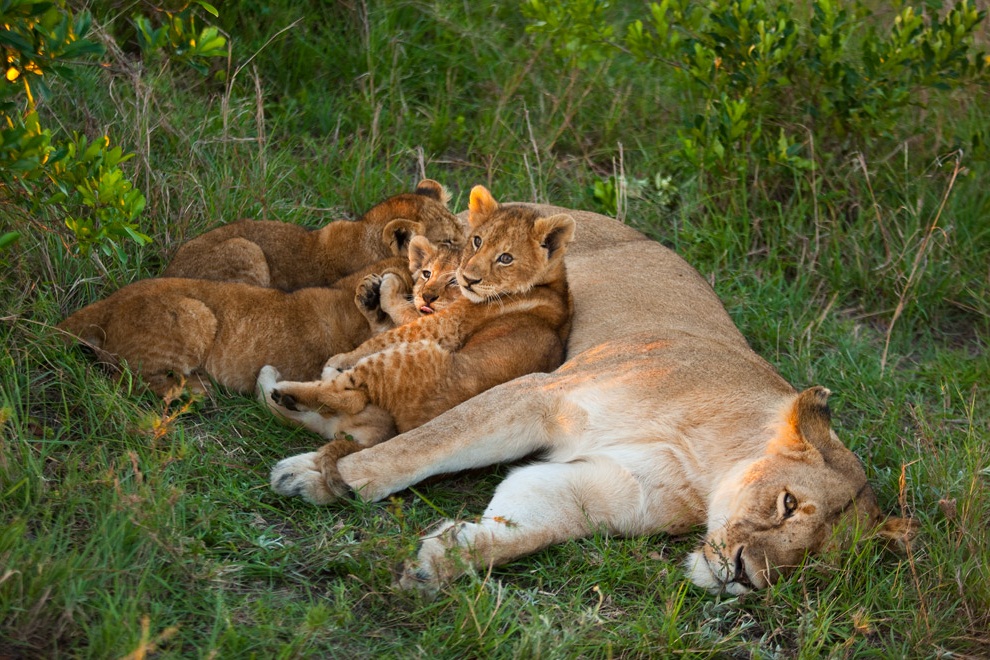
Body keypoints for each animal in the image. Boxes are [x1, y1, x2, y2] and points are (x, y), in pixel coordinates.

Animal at [261, 185, 575, 500]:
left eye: (506, 258)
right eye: (477, 242)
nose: (467, 278)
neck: (552, 283)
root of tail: (408, 424)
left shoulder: (442, 325)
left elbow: (394, 325)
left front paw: (379, 299)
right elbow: (388, 323)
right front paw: (371, 297)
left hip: (405, 358)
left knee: (346, 395)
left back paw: (286, 387)